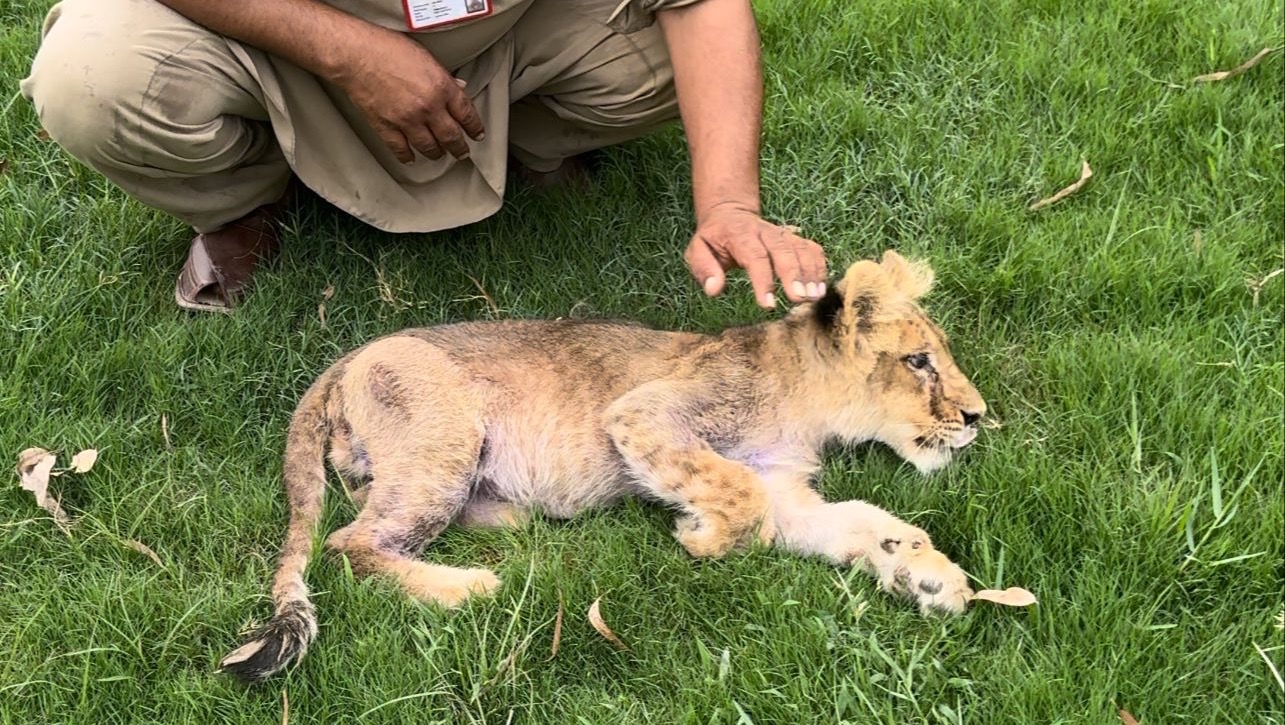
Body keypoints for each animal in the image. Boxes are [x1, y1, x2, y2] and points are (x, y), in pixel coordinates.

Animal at [219, 250, 987, 682]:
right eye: (920, 361)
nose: (979, 416)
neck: (808, 401)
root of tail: (341, 361)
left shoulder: (785, 483)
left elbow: (861, 522)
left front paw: (929, 576)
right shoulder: (643, 414)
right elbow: (741, 498)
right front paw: (701, 535)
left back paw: (502, 523)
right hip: (443, 440)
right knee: (349, 543)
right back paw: (467, 587)